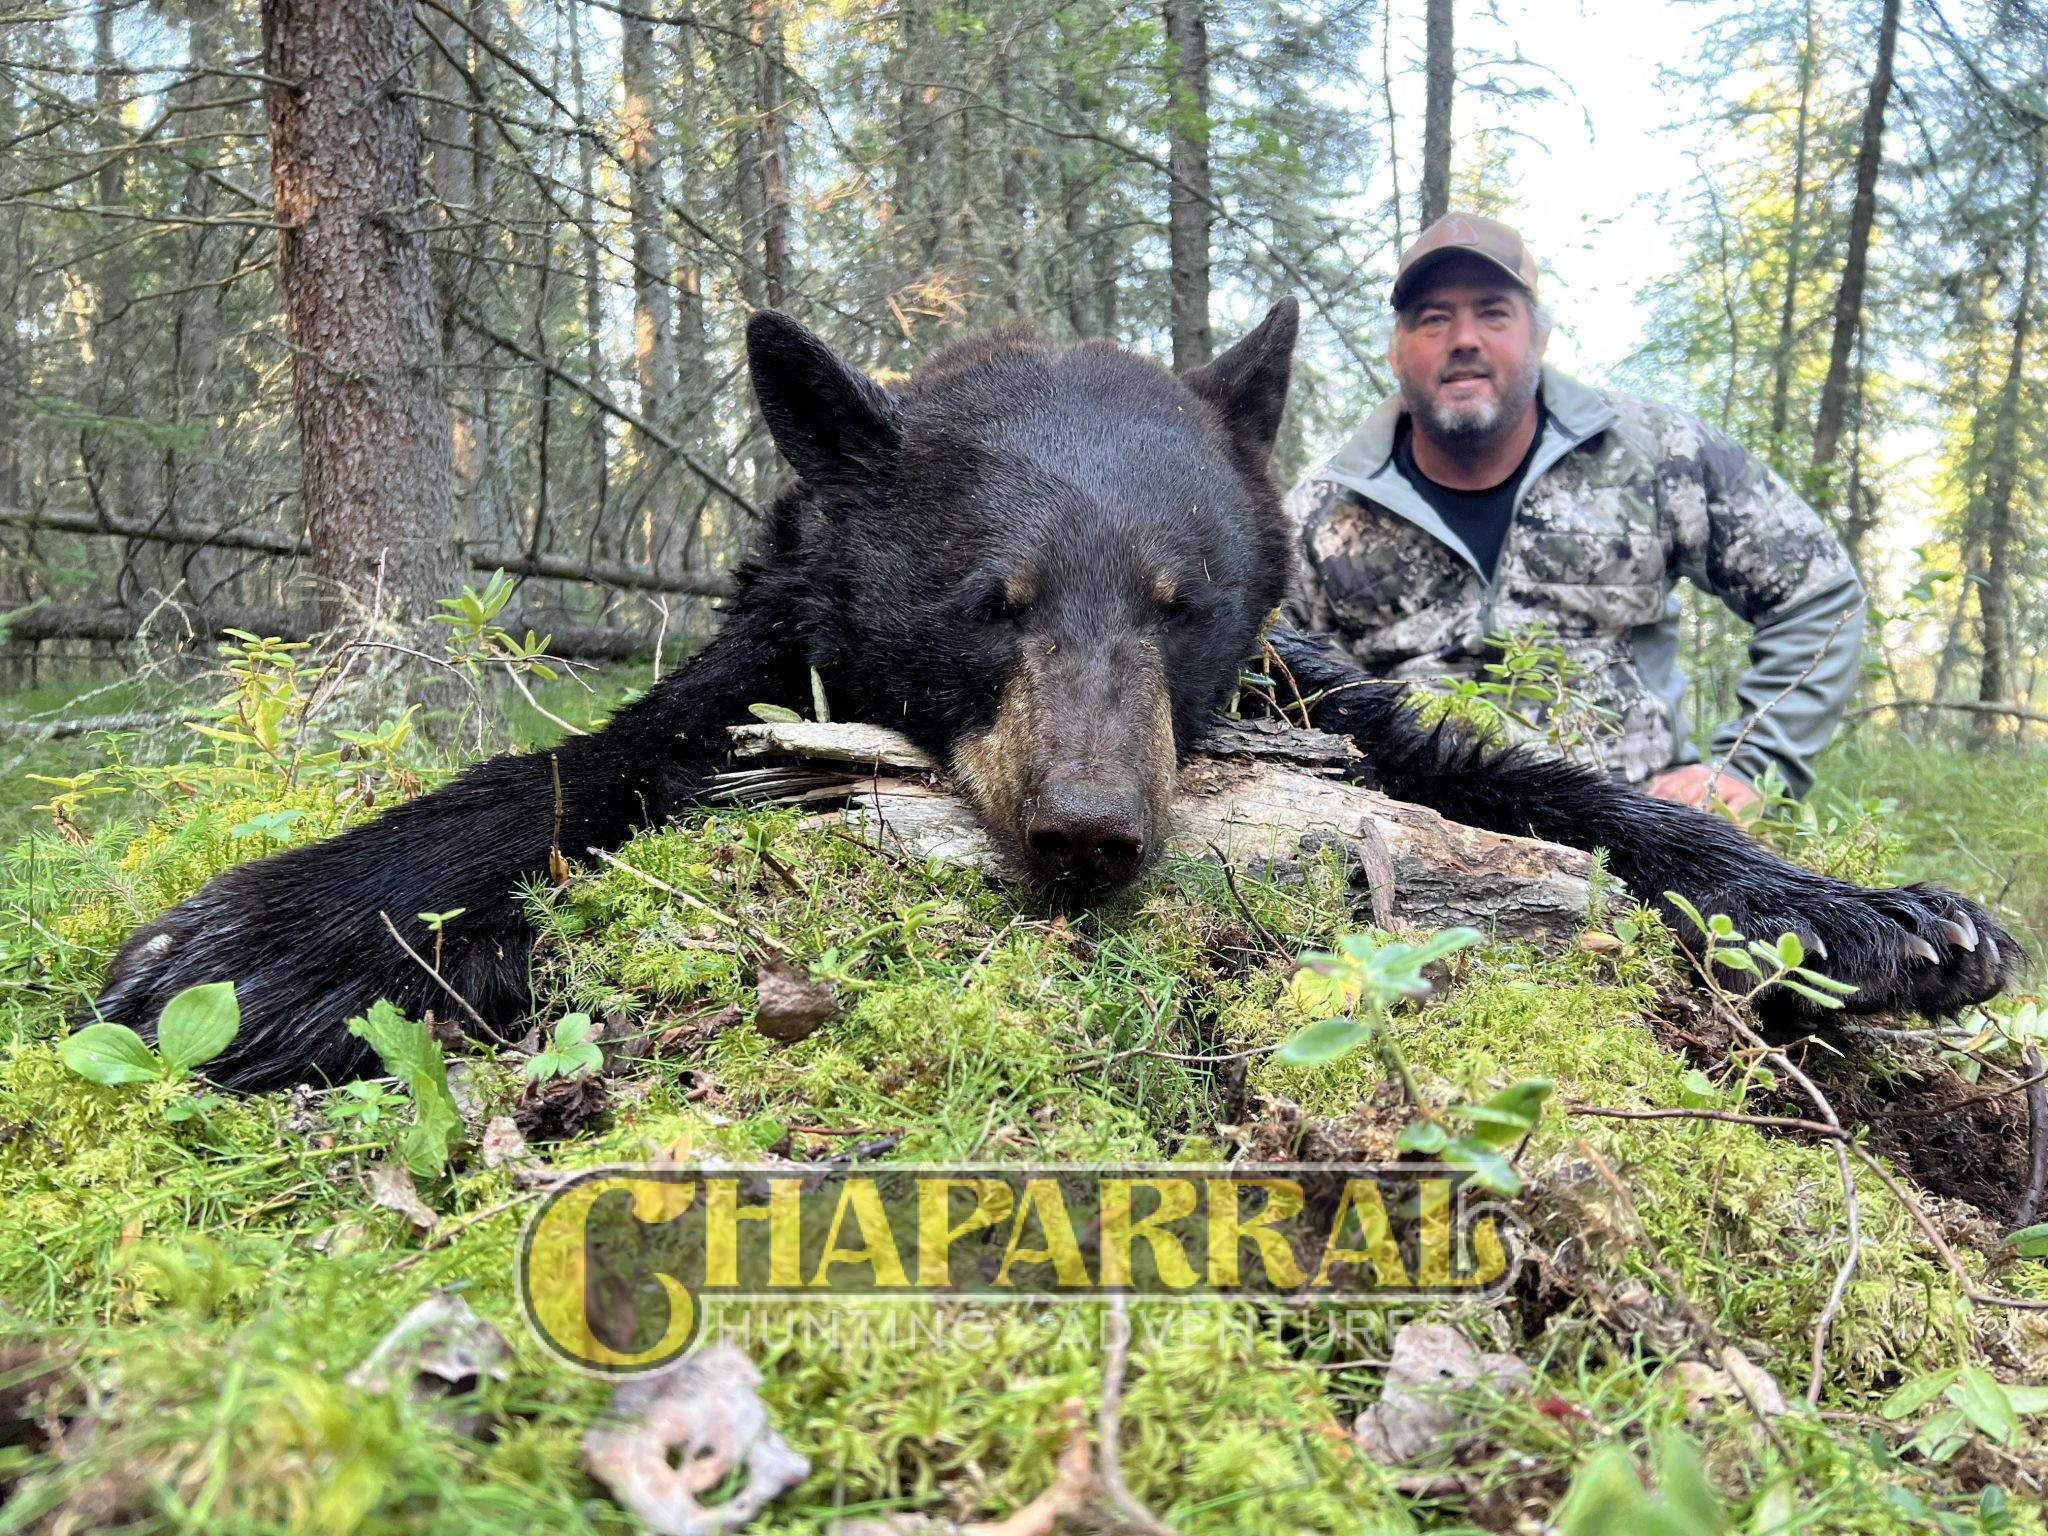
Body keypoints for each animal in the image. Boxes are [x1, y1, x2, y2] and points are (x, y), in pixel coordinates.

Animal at [87, 300, 2019, 1090]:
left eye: (1181, 603)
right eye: (988, 604)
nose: (1090, 828)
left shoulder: (1298, 676)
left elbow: (1503, 770)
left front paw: (1874, 914)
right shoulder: (770, 634)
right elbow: (598, 756)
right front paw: (264, 943)